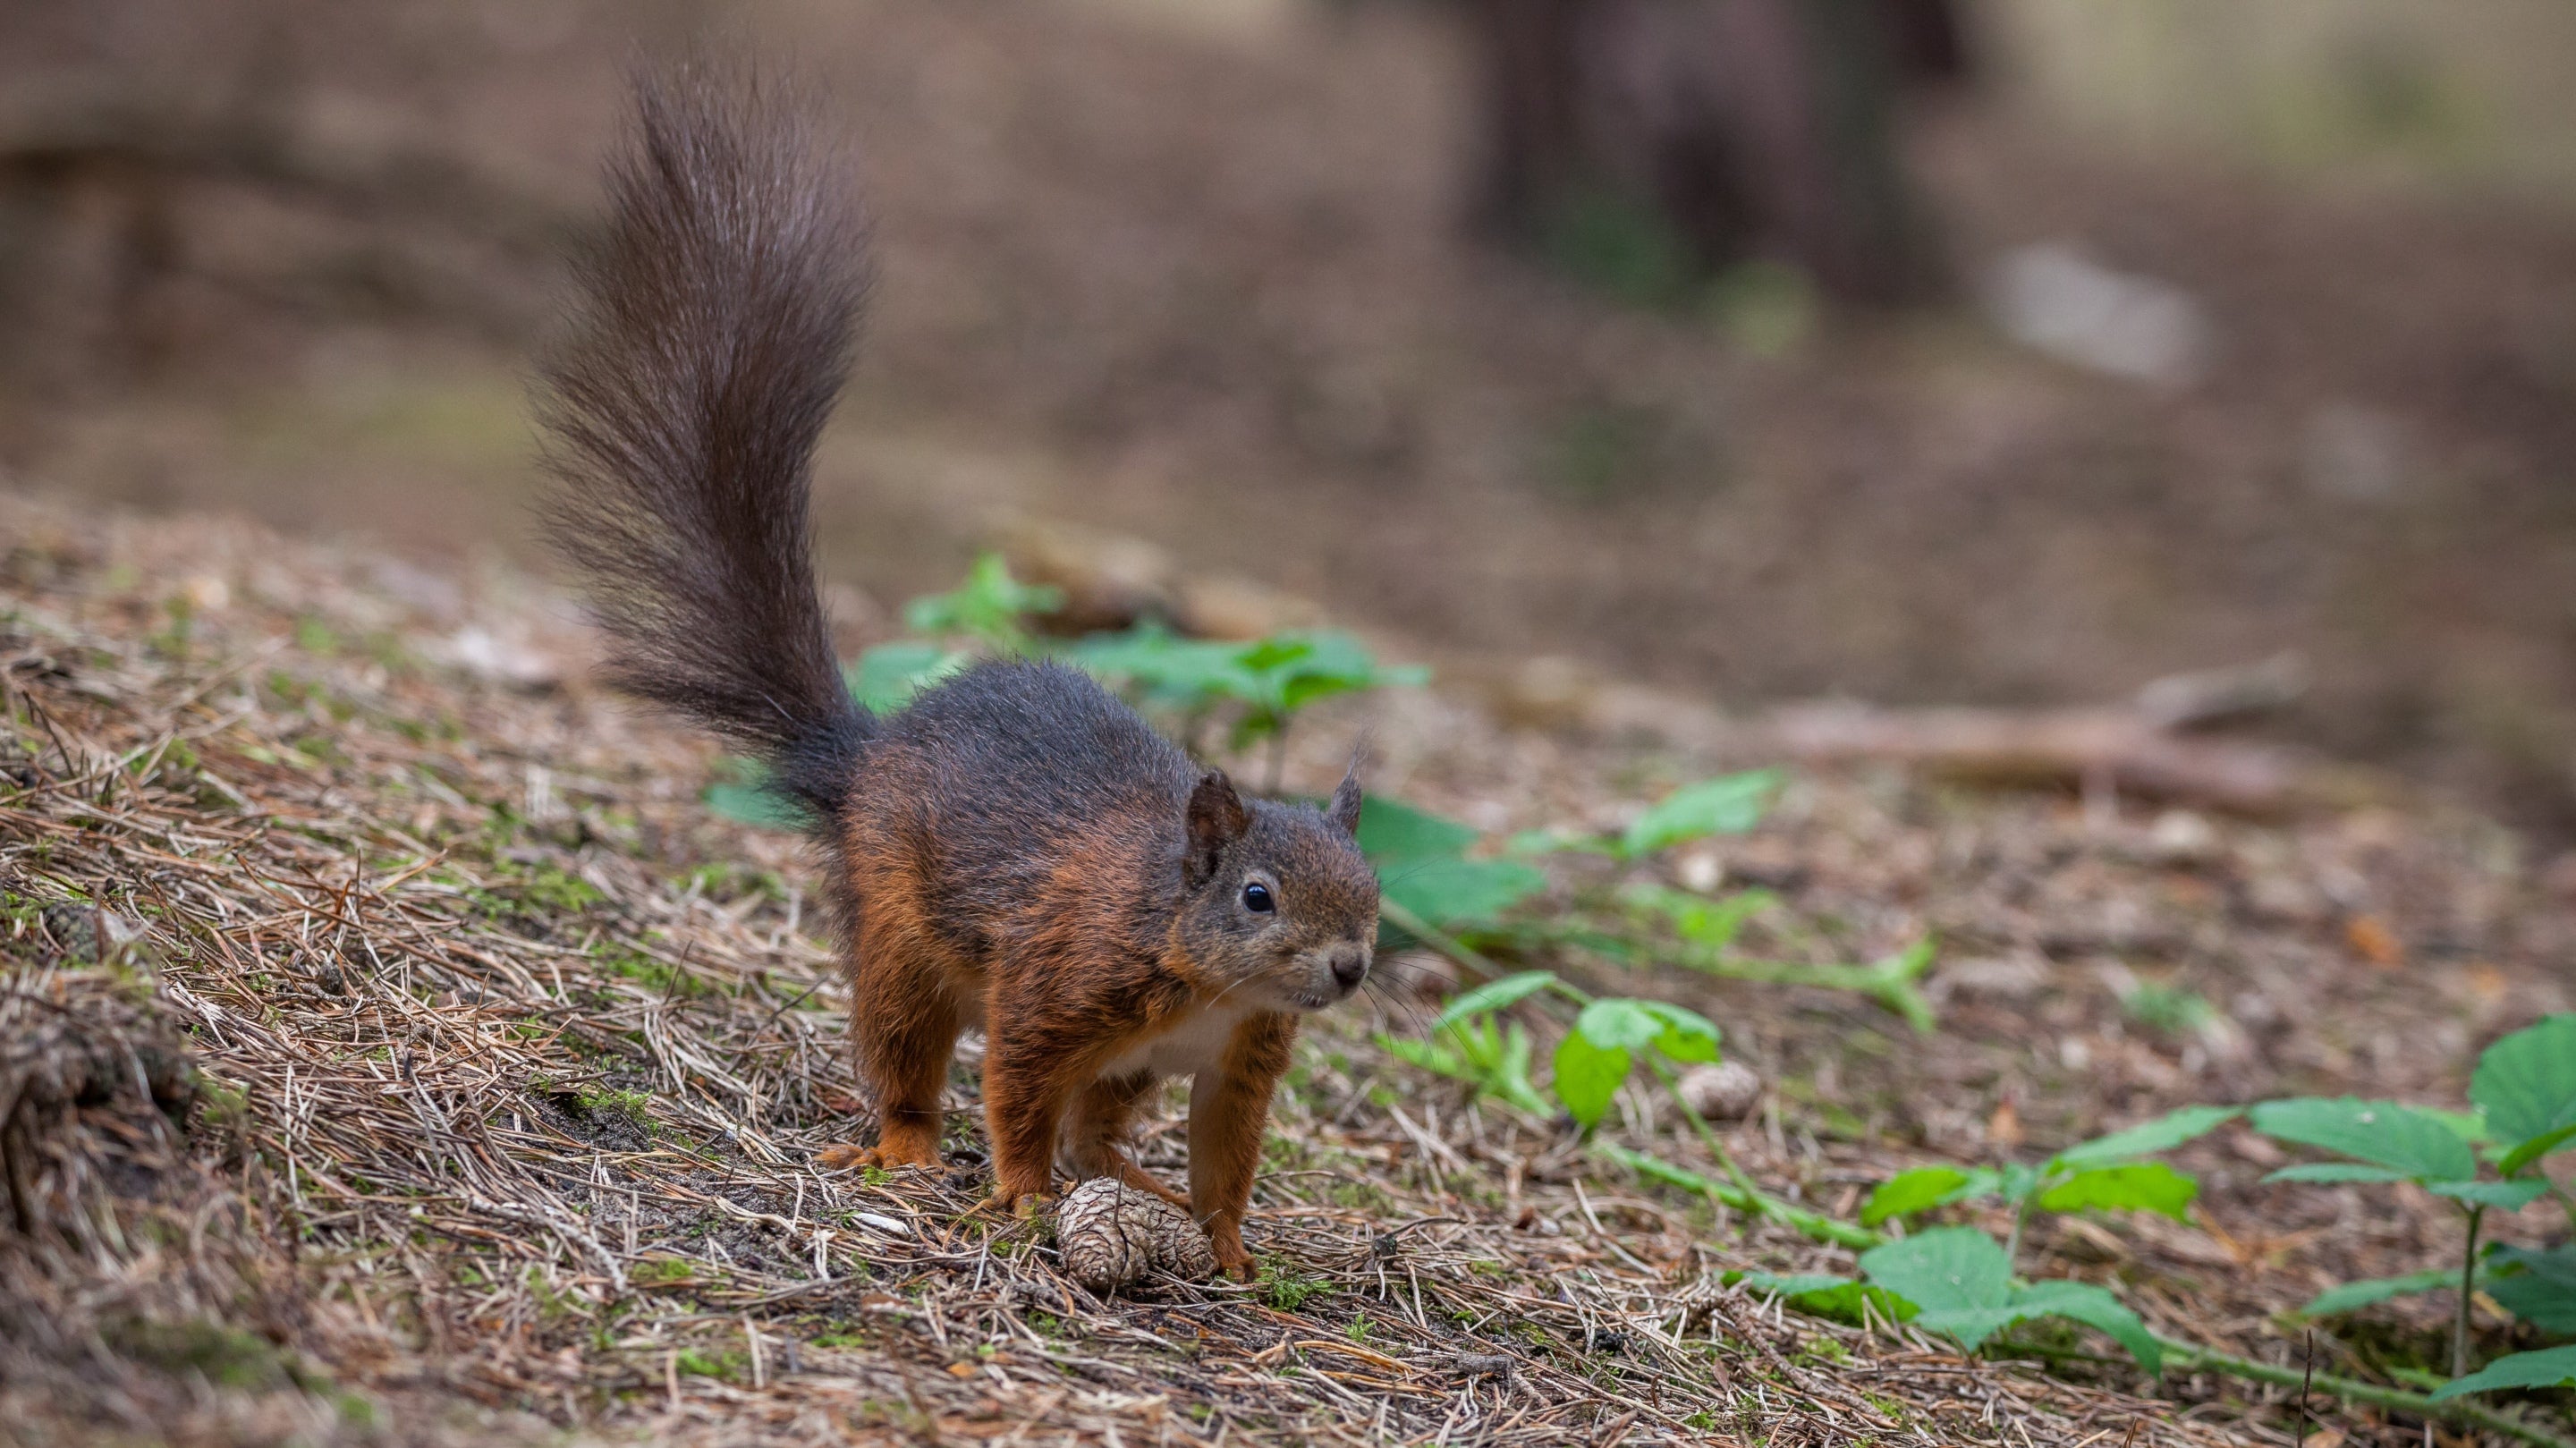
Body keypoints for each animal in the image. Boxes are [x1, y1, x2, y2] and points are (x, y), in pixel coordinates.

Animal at [532, 64, 1380, 1278]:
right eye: (1257, 893)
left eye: (1373, 888)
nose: (1350, 967)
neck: (1204, 969)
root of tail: (867, 754)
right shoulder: (1057, 981)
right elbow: (1019, 1085)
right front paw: (1022, 1196)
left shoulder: (1241, 1055)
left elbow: (1229, 1153)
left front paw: (1229, 1249)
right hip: (899, 936)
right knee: (910, 1051)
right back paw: (908, 1148)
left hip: (1123, 1063)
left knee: (1099, 1124)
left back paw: (1129, 1186)